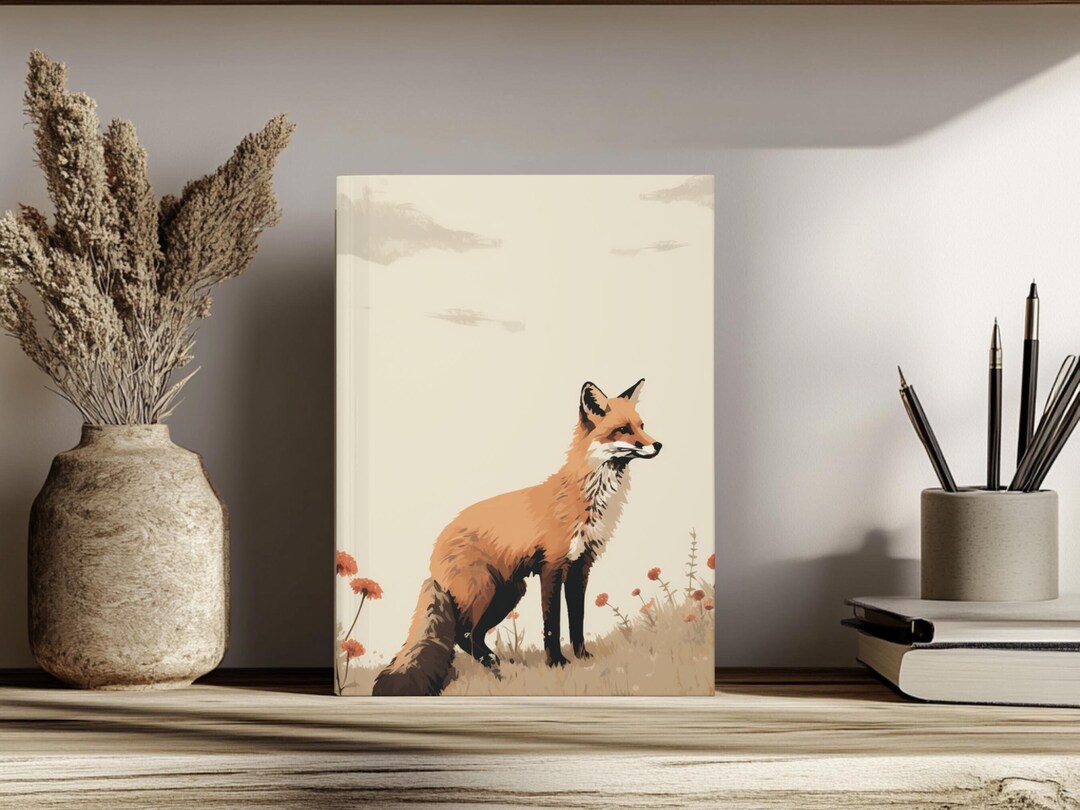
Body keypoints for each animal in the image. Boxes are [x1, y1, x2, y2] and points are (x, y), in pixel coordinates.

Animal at [372, 378, 661, 696]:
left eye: (642, 425)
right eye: (623, 429)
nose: (658, 444)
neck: (589, 498)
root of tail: (434, 558)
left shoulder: (580, 566)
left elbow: (577, 620)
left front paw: (583, 658)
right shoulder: (552, 566)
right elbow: (552, 624)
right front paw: (557, 662)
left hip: (510, 592)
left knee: (474, 635)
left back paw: (499, 663)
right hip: (485, 591)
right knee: (463, 634)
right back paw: (496, 666)